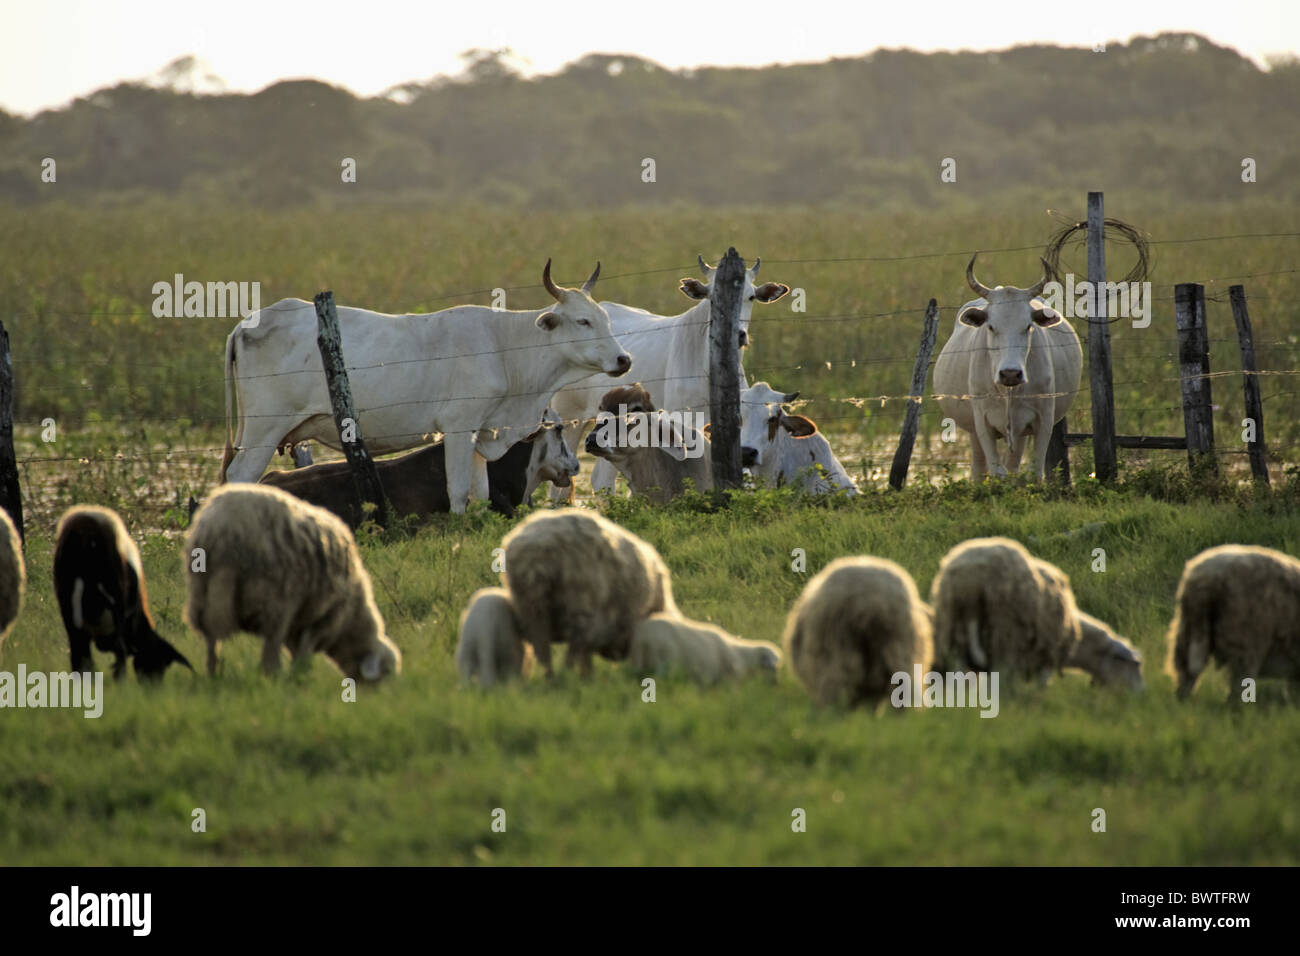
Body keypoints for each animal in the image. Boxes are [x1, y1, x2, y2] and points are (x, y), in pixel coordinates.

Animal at [220, 260, 630, 513]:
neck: (504, 346)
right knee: (239, 477)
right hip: (264, 429)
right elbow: (459, 490)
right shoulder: (459, 427)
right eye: (583, 321)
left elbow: (480, 493)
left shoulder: (481, 432)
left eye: (606, 319)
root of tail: (248, 323)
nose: (623, 360)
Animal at [933, 255, 1083, 480]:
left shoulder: (1044, 420)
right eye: (991, 326)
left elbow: (1034, 471)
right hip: (974, 431)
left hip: (1020, 431)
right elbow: (997, 471)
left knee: (1013, 464)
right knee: (979, 469)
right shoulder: (982, 423)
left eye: (1028, 326)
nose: (1010, 373)